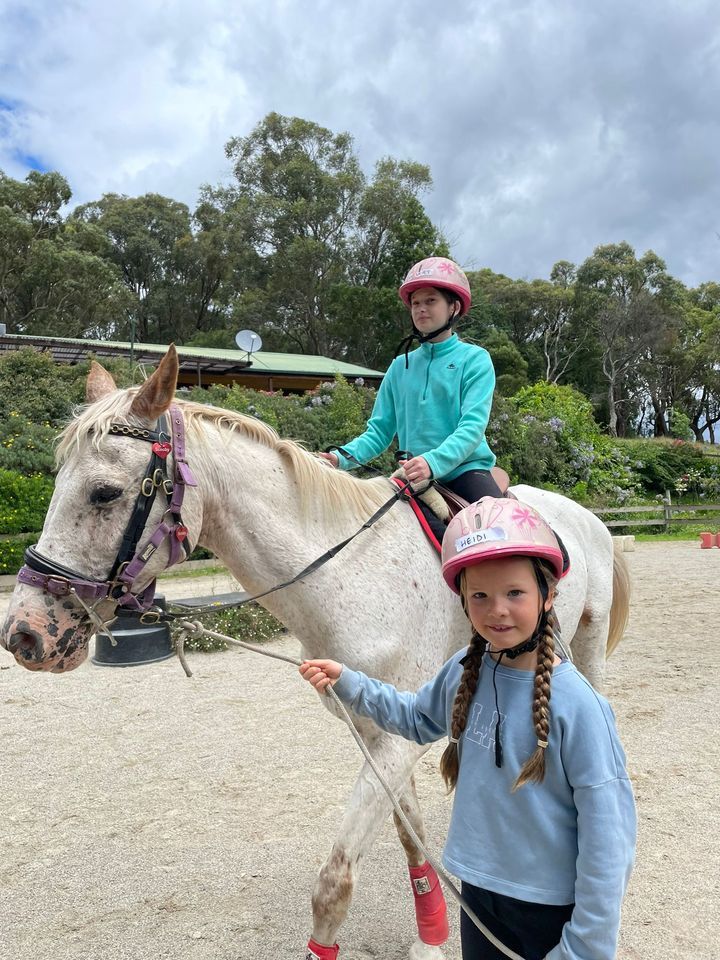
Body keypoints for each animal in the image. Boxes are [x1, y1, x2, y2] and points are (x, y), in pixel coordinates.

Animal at [1, 346, 630, 960]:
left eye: (104, 492)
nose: (23, 634)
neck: (354, 576)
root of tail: (585, 515)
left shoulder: (399, 742)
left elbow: (334, 882)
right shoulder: (382, 731)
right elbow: (411, 838)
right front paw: (430, 938)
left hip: (586, 645)